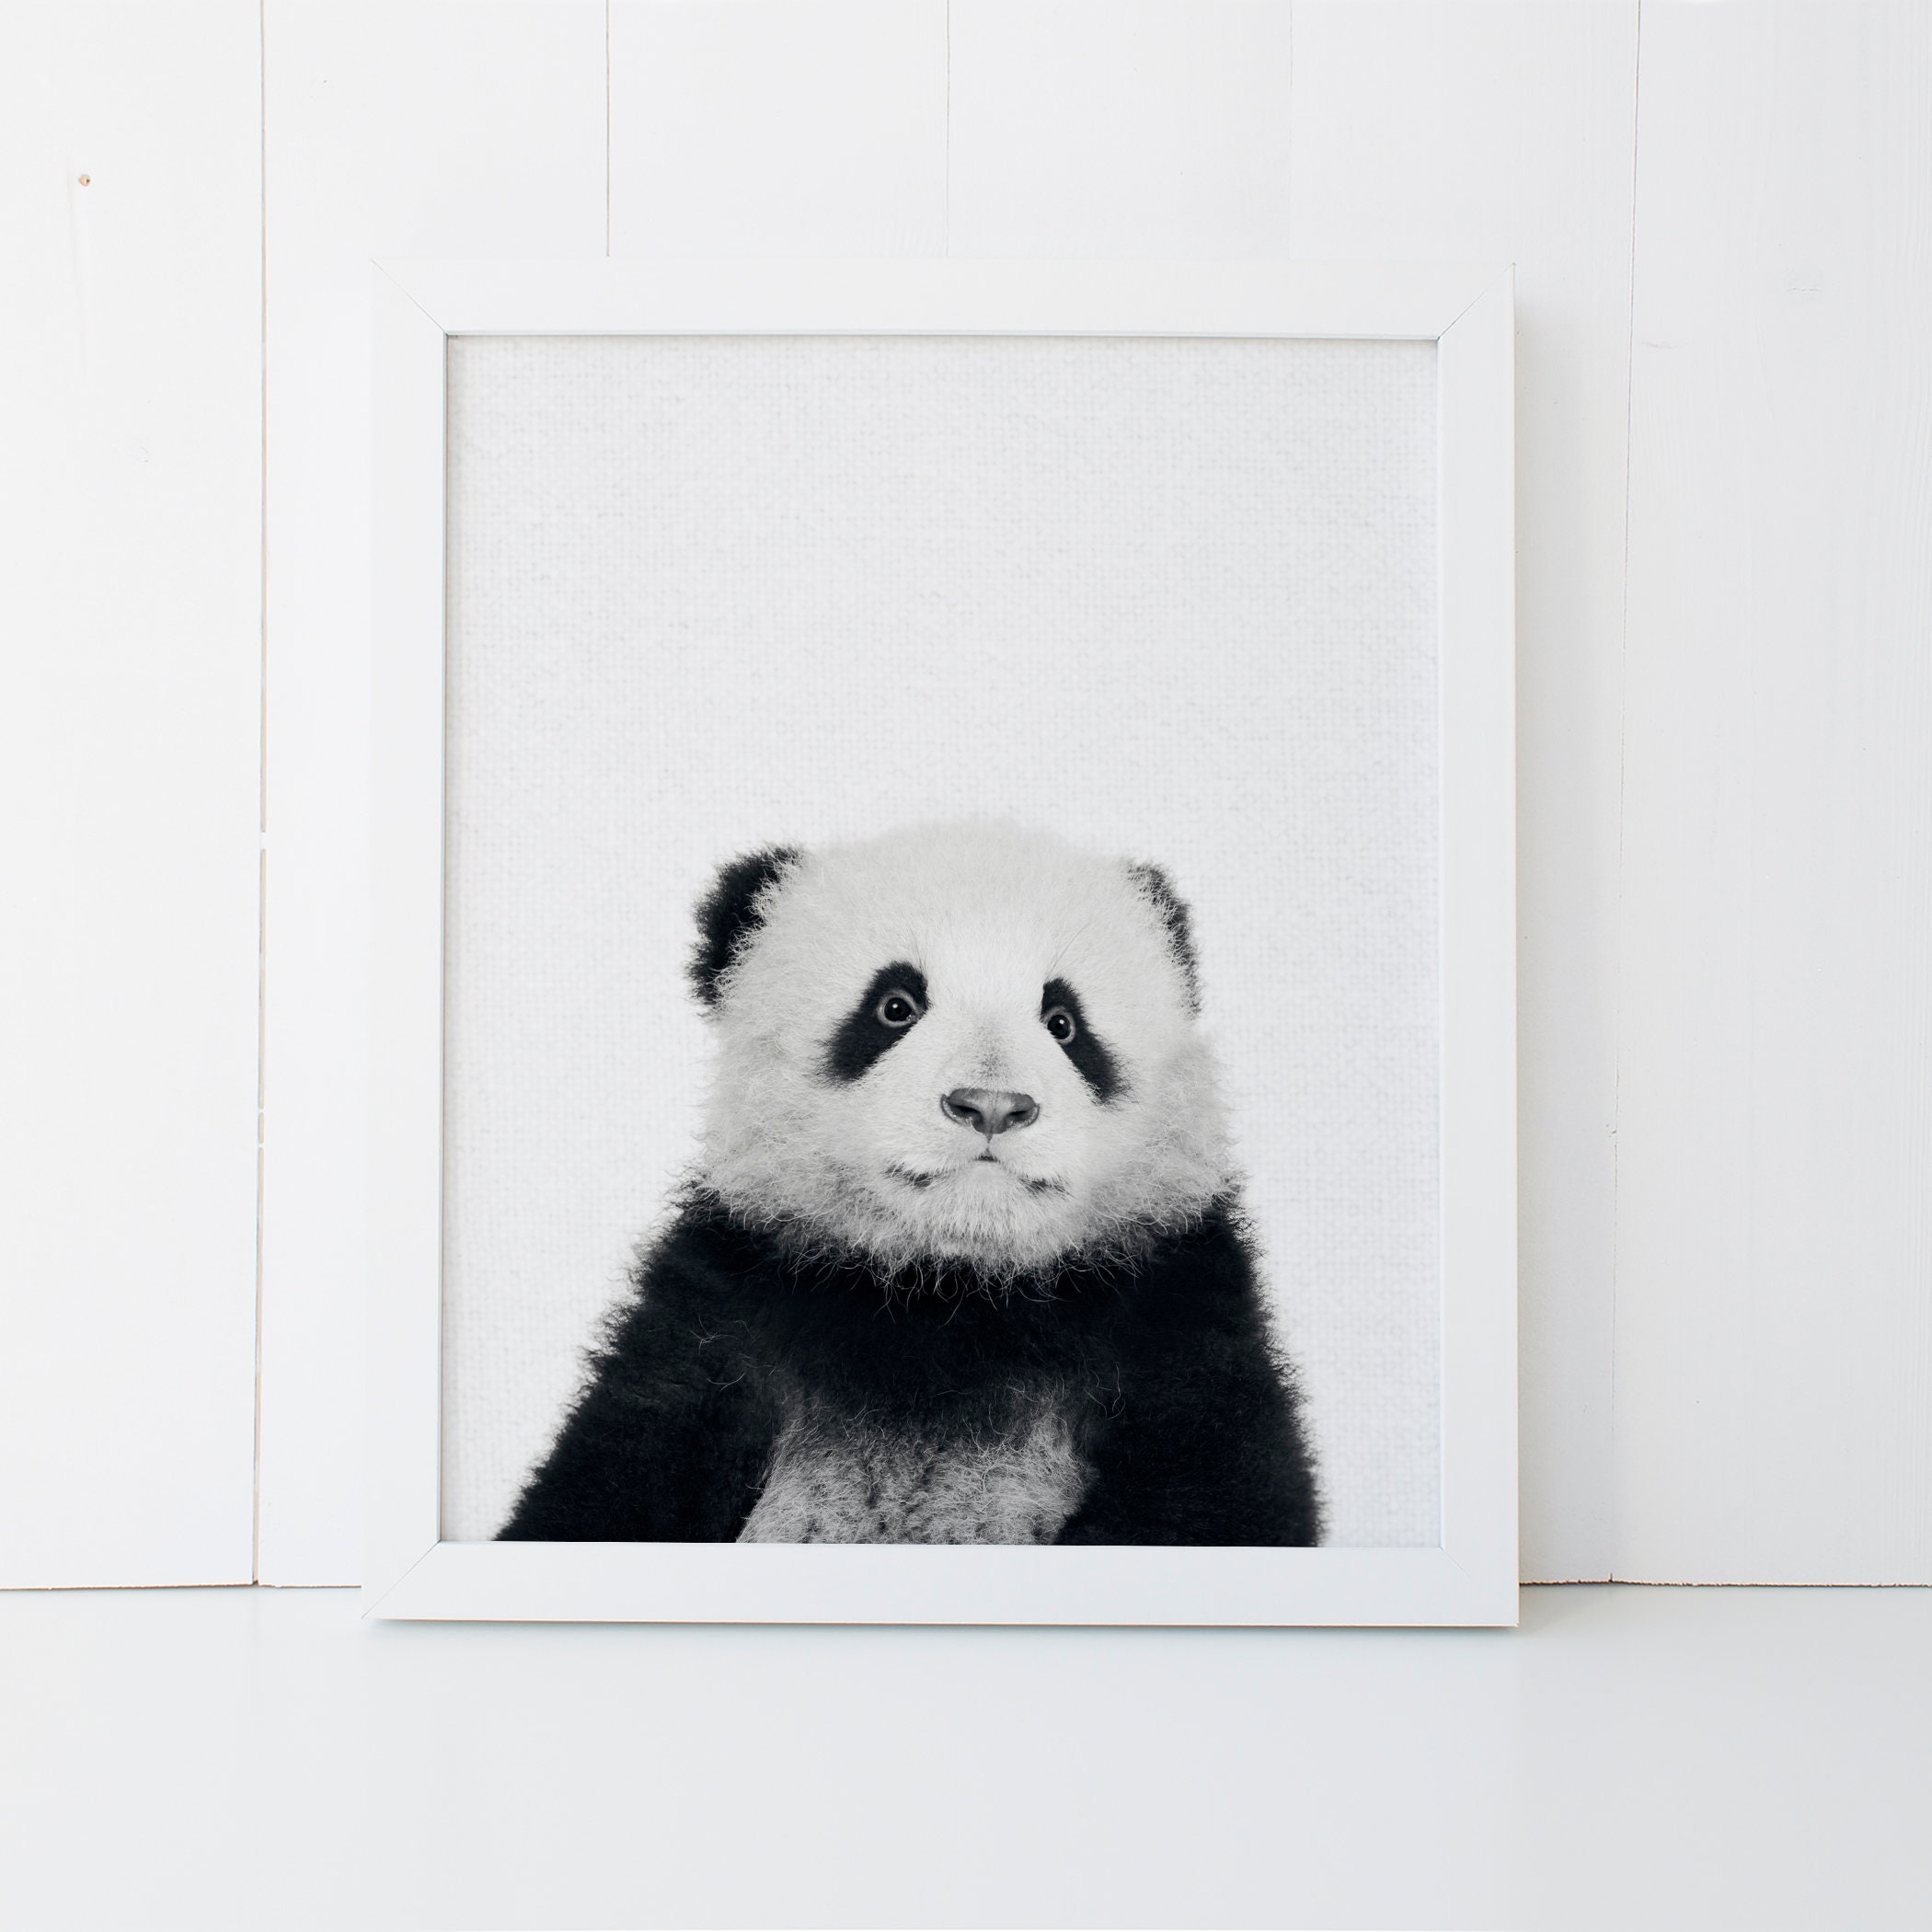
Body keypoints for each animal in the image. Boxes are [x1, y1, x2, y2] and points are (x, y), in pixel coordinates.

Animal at [499, 821, 1320, 1546]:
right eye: (895, 1007)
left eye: (1064, 1023)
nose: (991, 1105)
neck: (951, 1294)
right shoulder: (724, 1313)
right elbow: (610, 1477)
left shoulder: (1174, 1320)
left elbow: (1219, 1497)